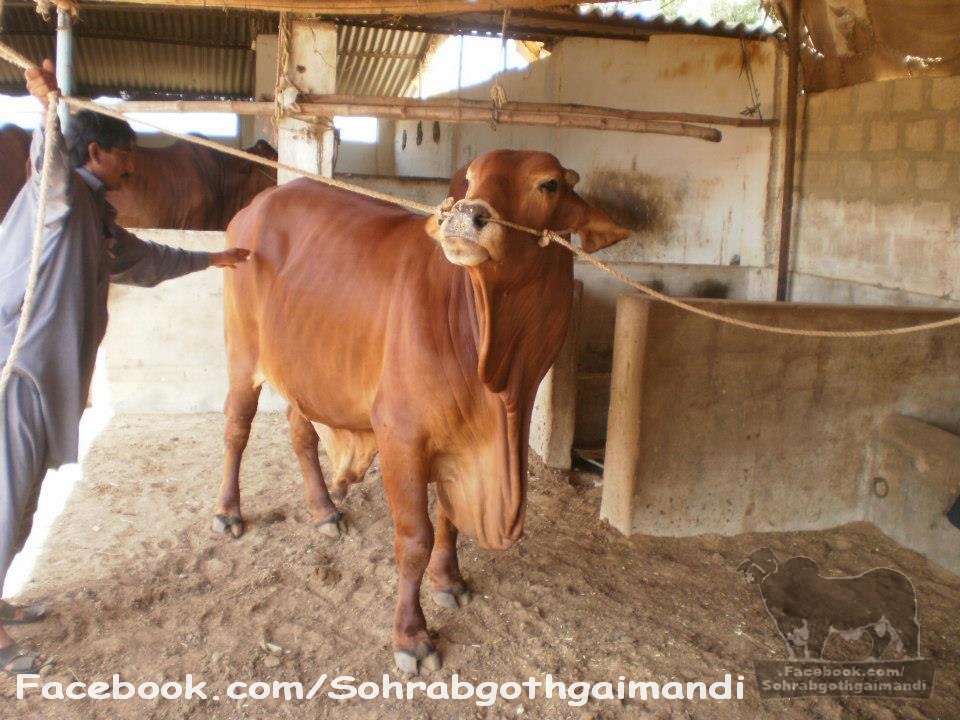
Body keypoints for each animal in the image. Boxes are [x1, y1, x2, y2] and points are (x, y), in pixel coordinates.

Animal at [213, 149, 629, 673]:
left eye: (549, 184)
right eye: (470, 178)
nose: (467, 215)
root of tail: (258, 205)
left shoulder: (462, 447)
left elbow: (449, 521)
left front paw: (448, 580)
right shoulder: (402, 439)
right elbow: (415, 539)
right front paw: (411, 636)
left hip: (305, 370)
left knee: (300, 432)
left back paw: (324, 509)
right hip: (242, 356)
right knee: (236, 430)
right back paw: (228, 512)